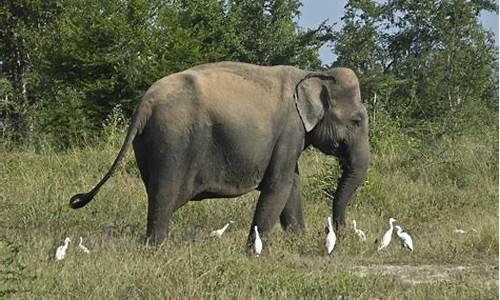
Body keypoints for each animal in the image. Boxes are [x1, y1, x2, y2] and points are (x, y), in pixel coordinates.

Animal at [68, 61, 370, 246]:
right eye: (357, 121)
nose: (339, 231)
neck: (313, 73)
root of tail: (145, 103)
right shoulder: (290, 128)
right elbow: (279, 185)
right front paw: (254, 250)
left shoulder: (290, 137)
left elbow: (292, 183)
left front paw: (297, 241)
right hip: (173, 142)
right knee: (165, 195)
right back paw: (156, 247)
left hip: (146, 145)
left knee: (156, 193)